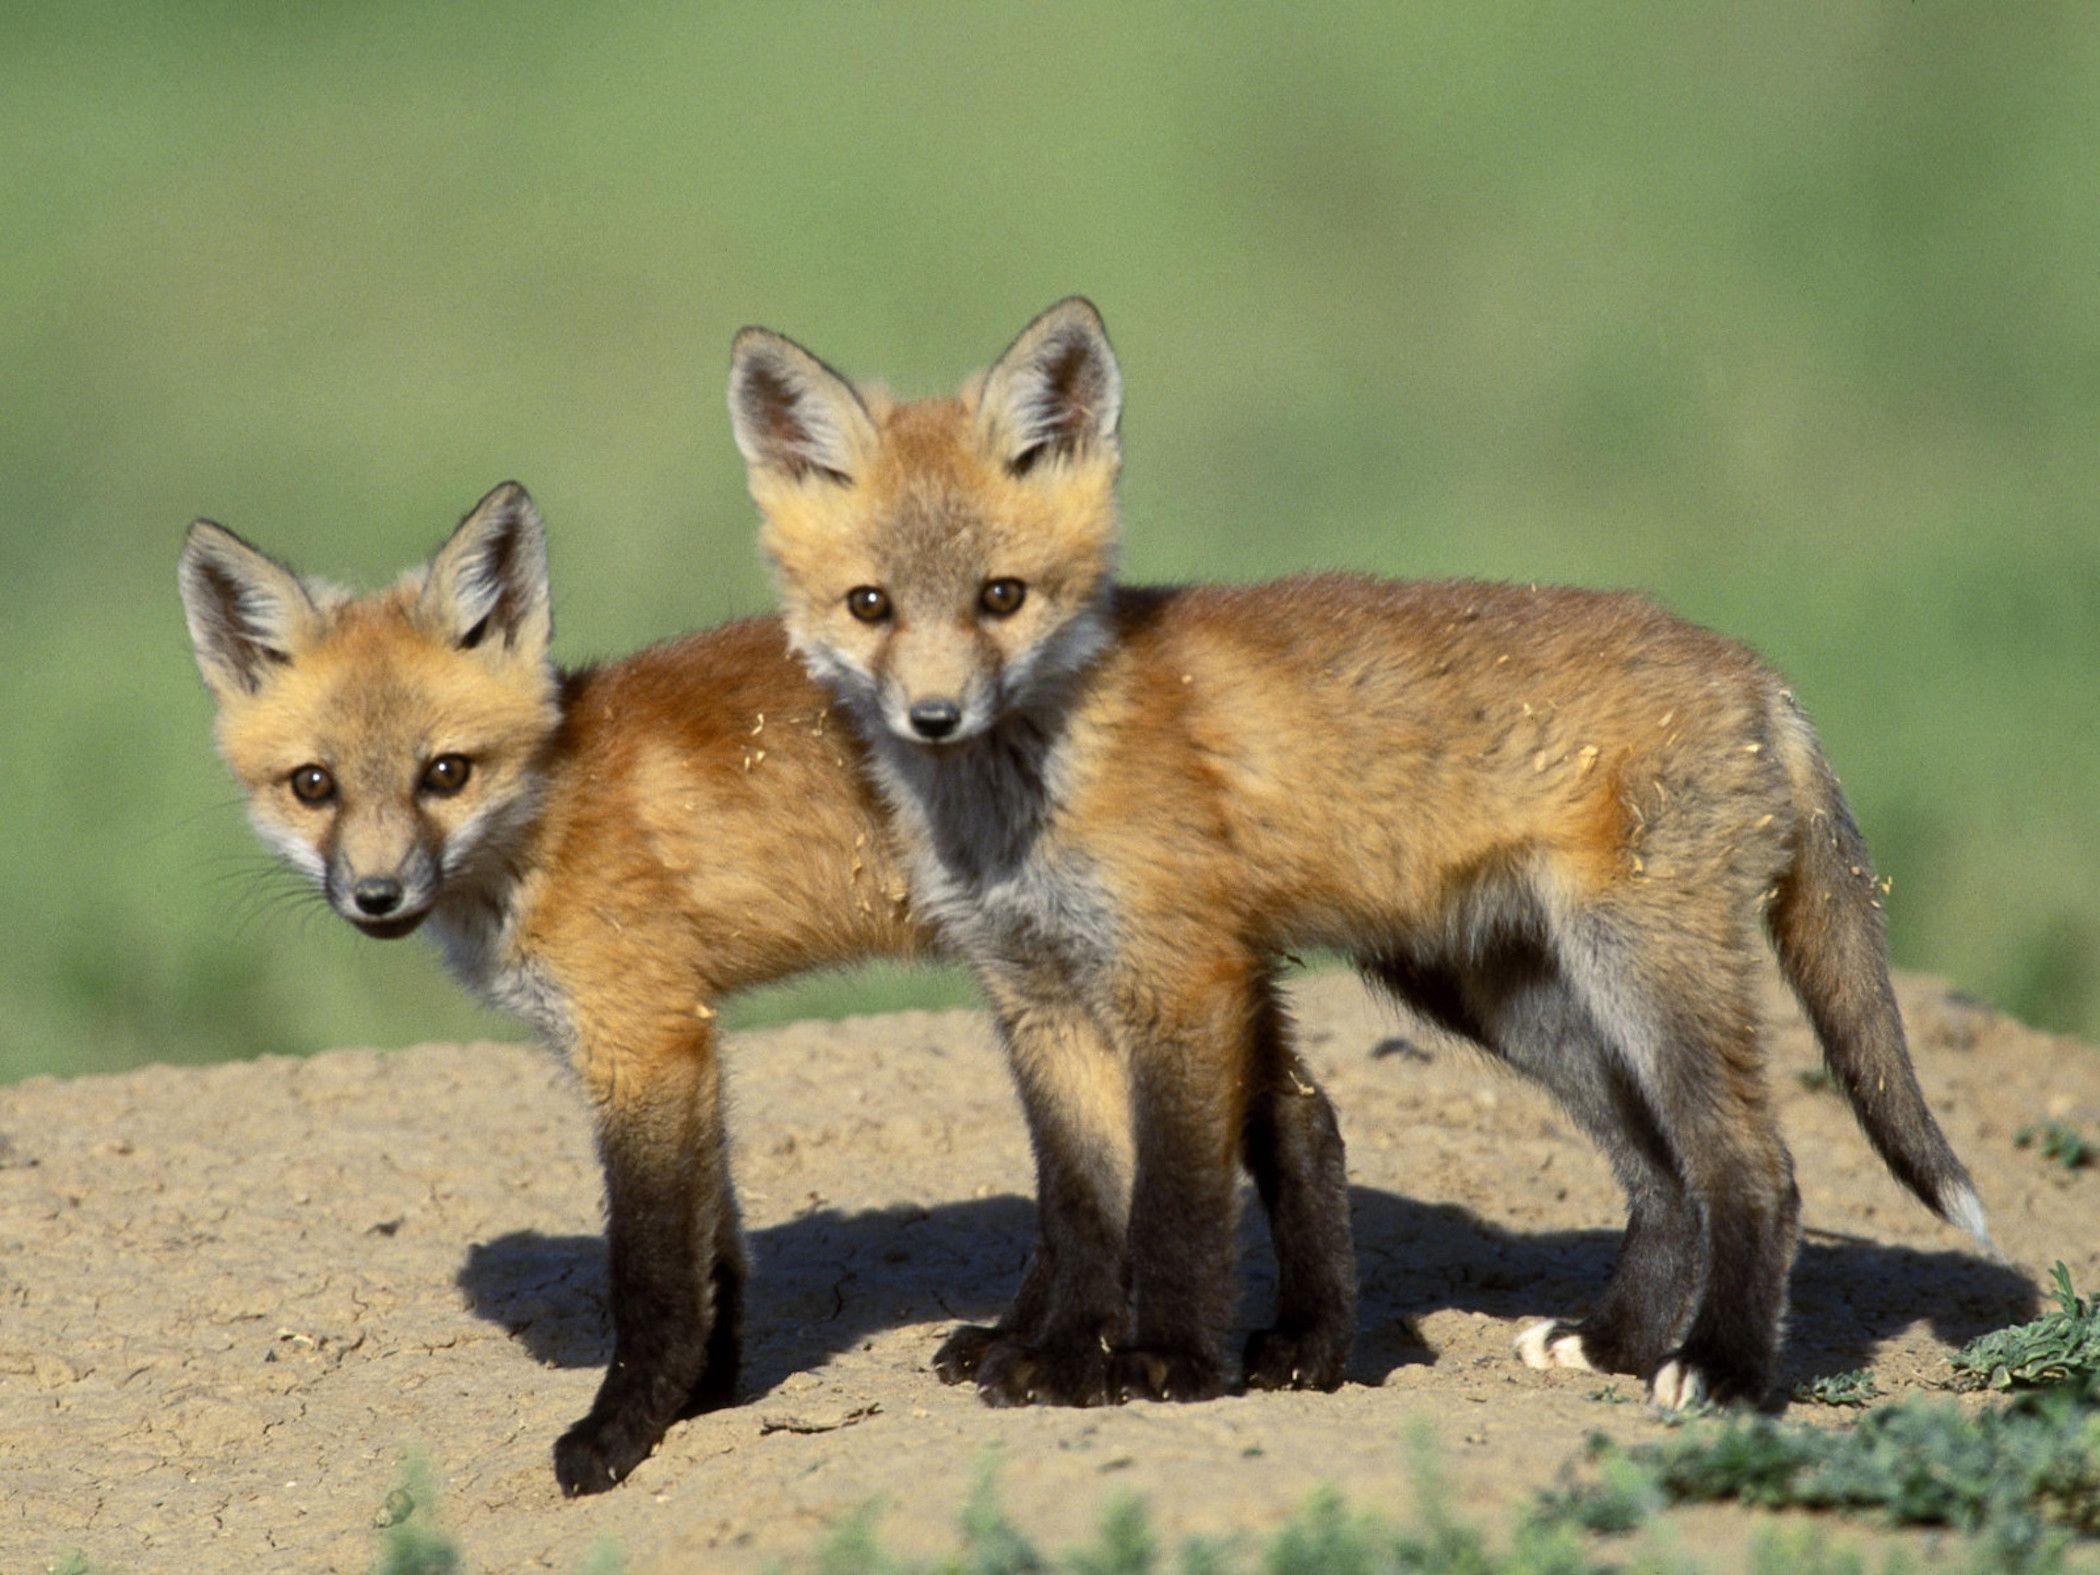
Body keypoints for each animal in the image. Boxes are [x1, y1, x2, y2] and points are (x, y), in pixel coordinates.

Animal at [177, 481, 1357, 1493]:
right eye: (315, 786)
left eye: (444, 774)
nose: (376, 896)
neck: (549, 819)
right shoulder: (685, 1042)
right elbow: (717, 1249)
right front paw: (704, 1399)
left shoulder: (643, 1041)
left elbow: (652, 1271)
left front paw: (621, 1432)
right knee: (1305, 1118)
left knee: (1279, 1127)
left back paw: (1270, 1345)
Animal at [728, 297, 1997, 1414]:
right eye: (871, 605)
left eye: (1002, 597)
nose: (935, 717)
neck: (1027, 793)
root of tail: (1759, 673)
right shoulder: (1035, 998)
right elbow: (1079, 1205)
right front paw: (1047, 1351)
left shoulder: (1183, 980)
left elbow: (1175, 1204)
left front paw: (1164, 1361)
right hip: (1505, 995)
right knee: (1662, 1177)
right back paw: (1617, 1342)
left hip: (1642, 971)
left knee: (1754, 1169)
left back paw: (1722, 1370)